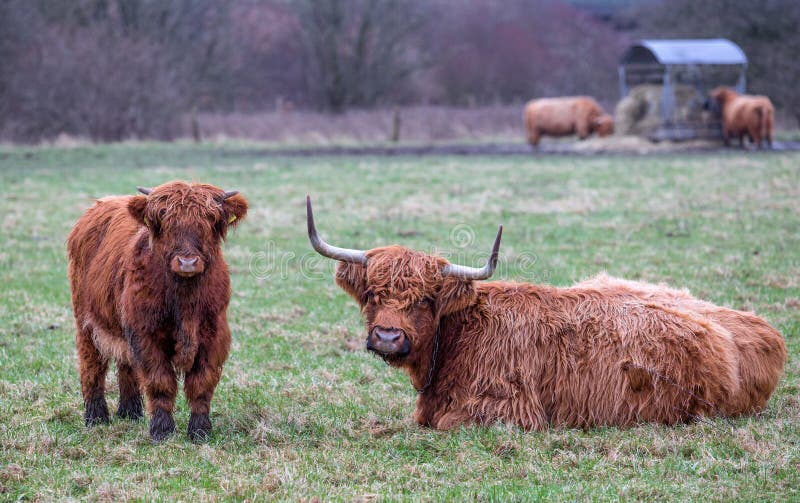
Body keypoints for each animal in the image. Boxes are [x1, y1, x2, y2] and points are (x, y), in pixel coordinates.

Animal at [67, 181, 247, 442]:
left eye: (209, 221)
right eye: (165, 221)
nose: (187, 262)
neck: (185, 299)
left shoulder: (214, 335)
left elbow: (202, 383)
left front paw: (200, 430)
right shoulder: (146, 334)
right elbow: (159, 381)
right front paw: (162, 430)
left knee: (126, 365)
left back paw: (130, 412)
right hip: (85, 321)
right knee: (92, 364)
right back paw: (96, 417)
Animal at [306, 197, 786, 430]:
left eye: (425, 299)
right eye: (372, 293)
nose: (388, 337)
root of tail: (763, 329)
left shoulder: (505, 411)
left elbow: (443, 423)